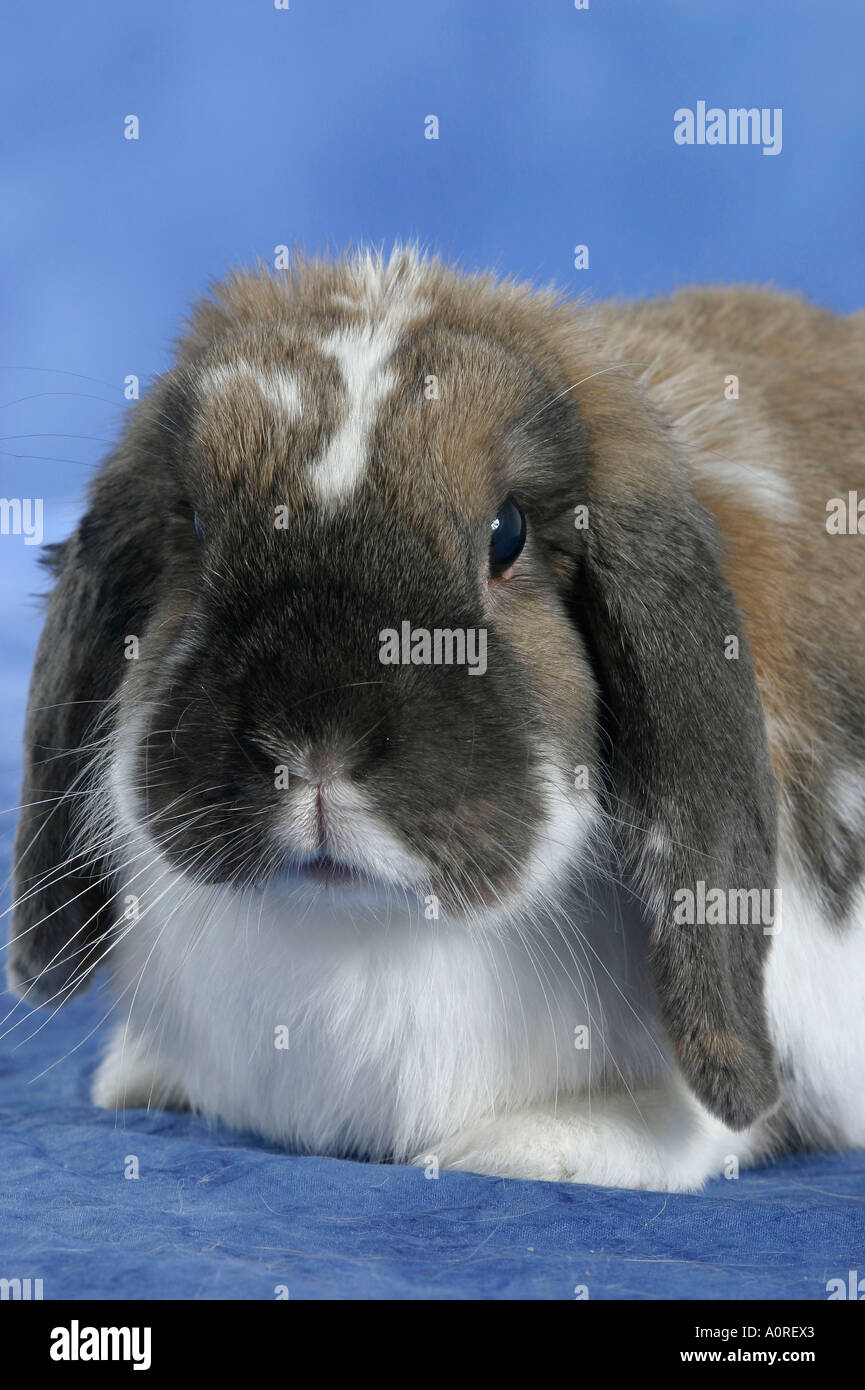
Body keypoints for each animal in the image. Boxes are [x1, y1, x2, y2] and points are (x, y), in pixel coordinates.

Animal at [9, 246, 865, 1191]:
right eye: (194, 524)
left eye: (507, 533)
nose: (314, 742)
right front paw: (139, 1077)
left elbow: (700, 1124)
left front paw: (526, 1146)